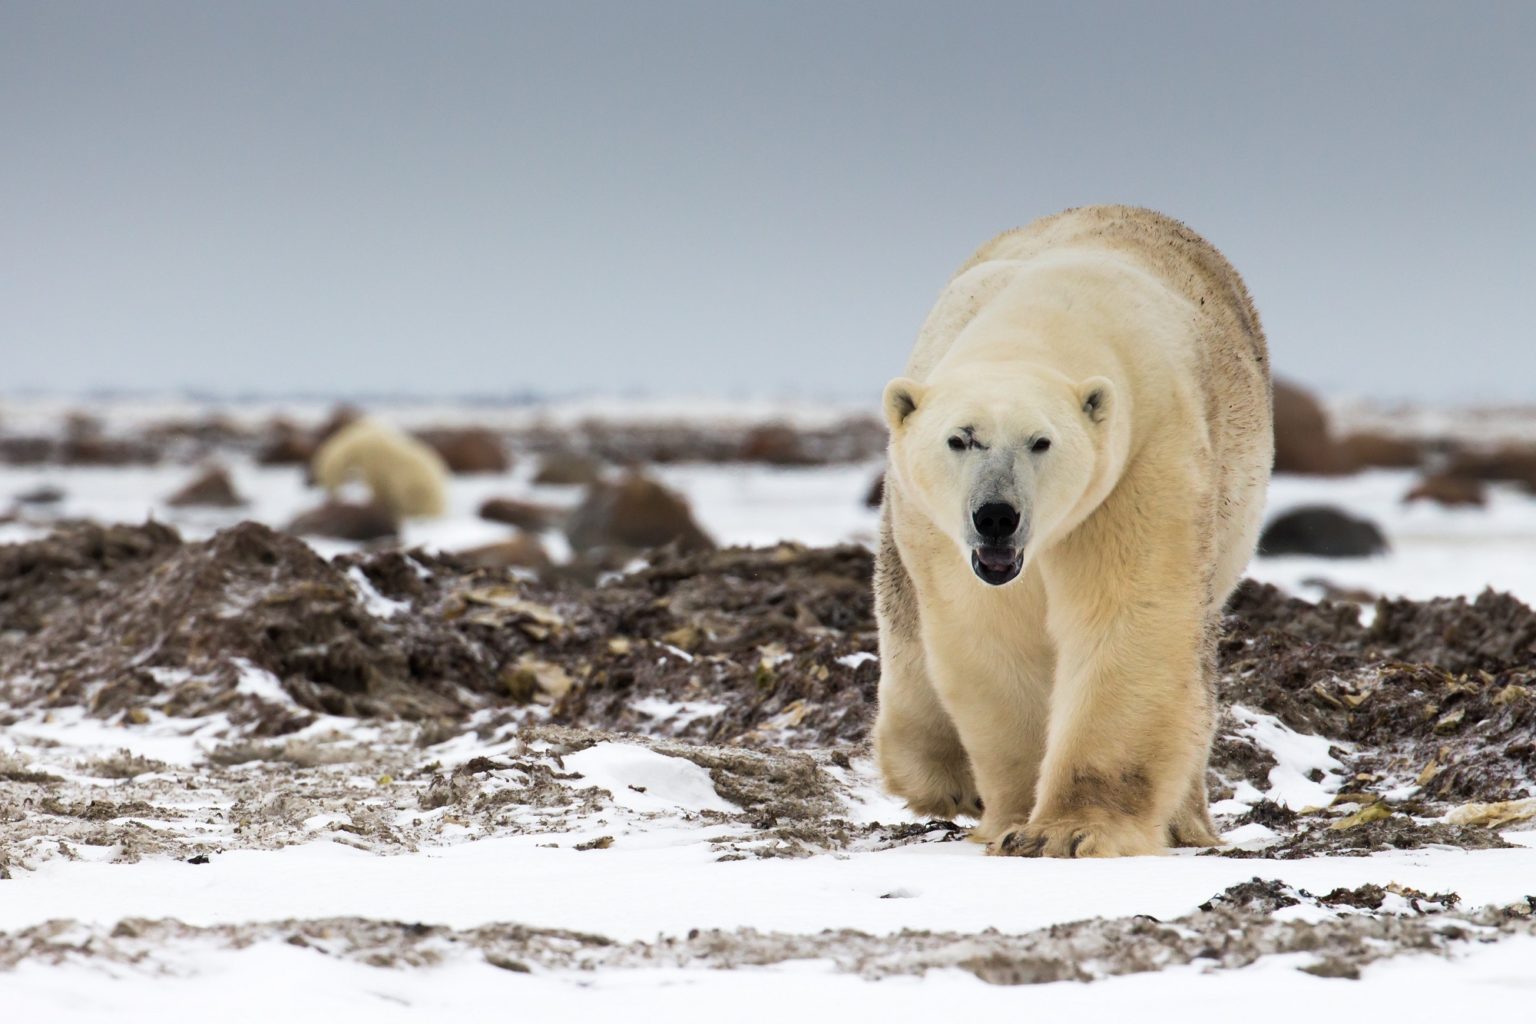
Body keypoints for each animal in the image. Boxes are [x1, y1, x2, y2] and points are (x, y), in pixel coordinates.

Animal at [873, 205, 1273, 858]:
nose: (996, 515)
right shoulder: (941, 532)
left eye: (1042, 442)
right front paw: (1014, 816)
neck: (1044, 316)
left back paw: (1187, 822)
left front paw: (1070, 829)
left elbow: (1129, 617)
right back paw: (941, 779)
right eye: (961, 438)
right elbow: (992, 635)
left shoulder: (1139, 462)